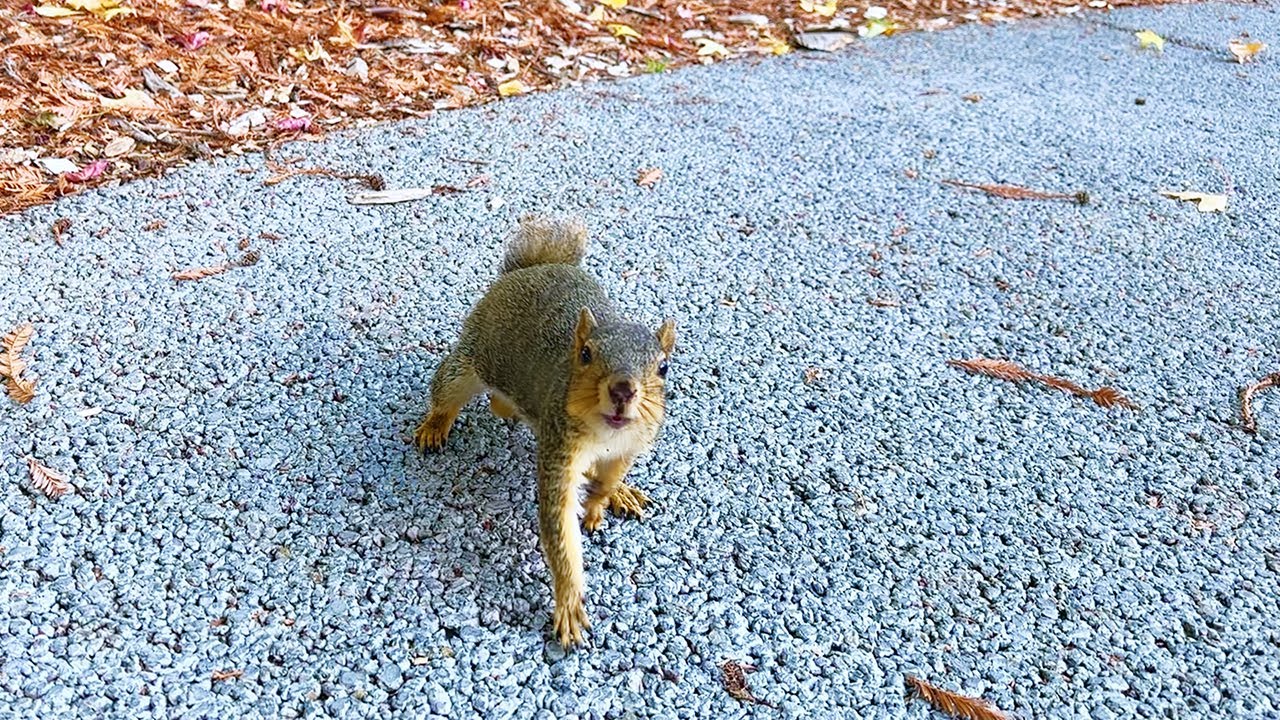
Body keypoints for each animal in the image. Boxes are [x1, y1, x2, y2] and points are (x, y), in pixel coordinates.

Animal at [414, 216, 676, 648]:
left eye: (663, 367)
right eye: (585, 355)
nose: (623, 390)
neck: (606, 435)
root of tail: (534, 269)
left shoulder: (631, 446)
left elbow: (610, 476)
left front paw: (604, 498)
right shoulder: (560, 446)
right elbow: (559, 528)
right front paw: (569, 603)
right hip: (470, 361)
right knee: (450, 390)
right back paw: (435, 424)